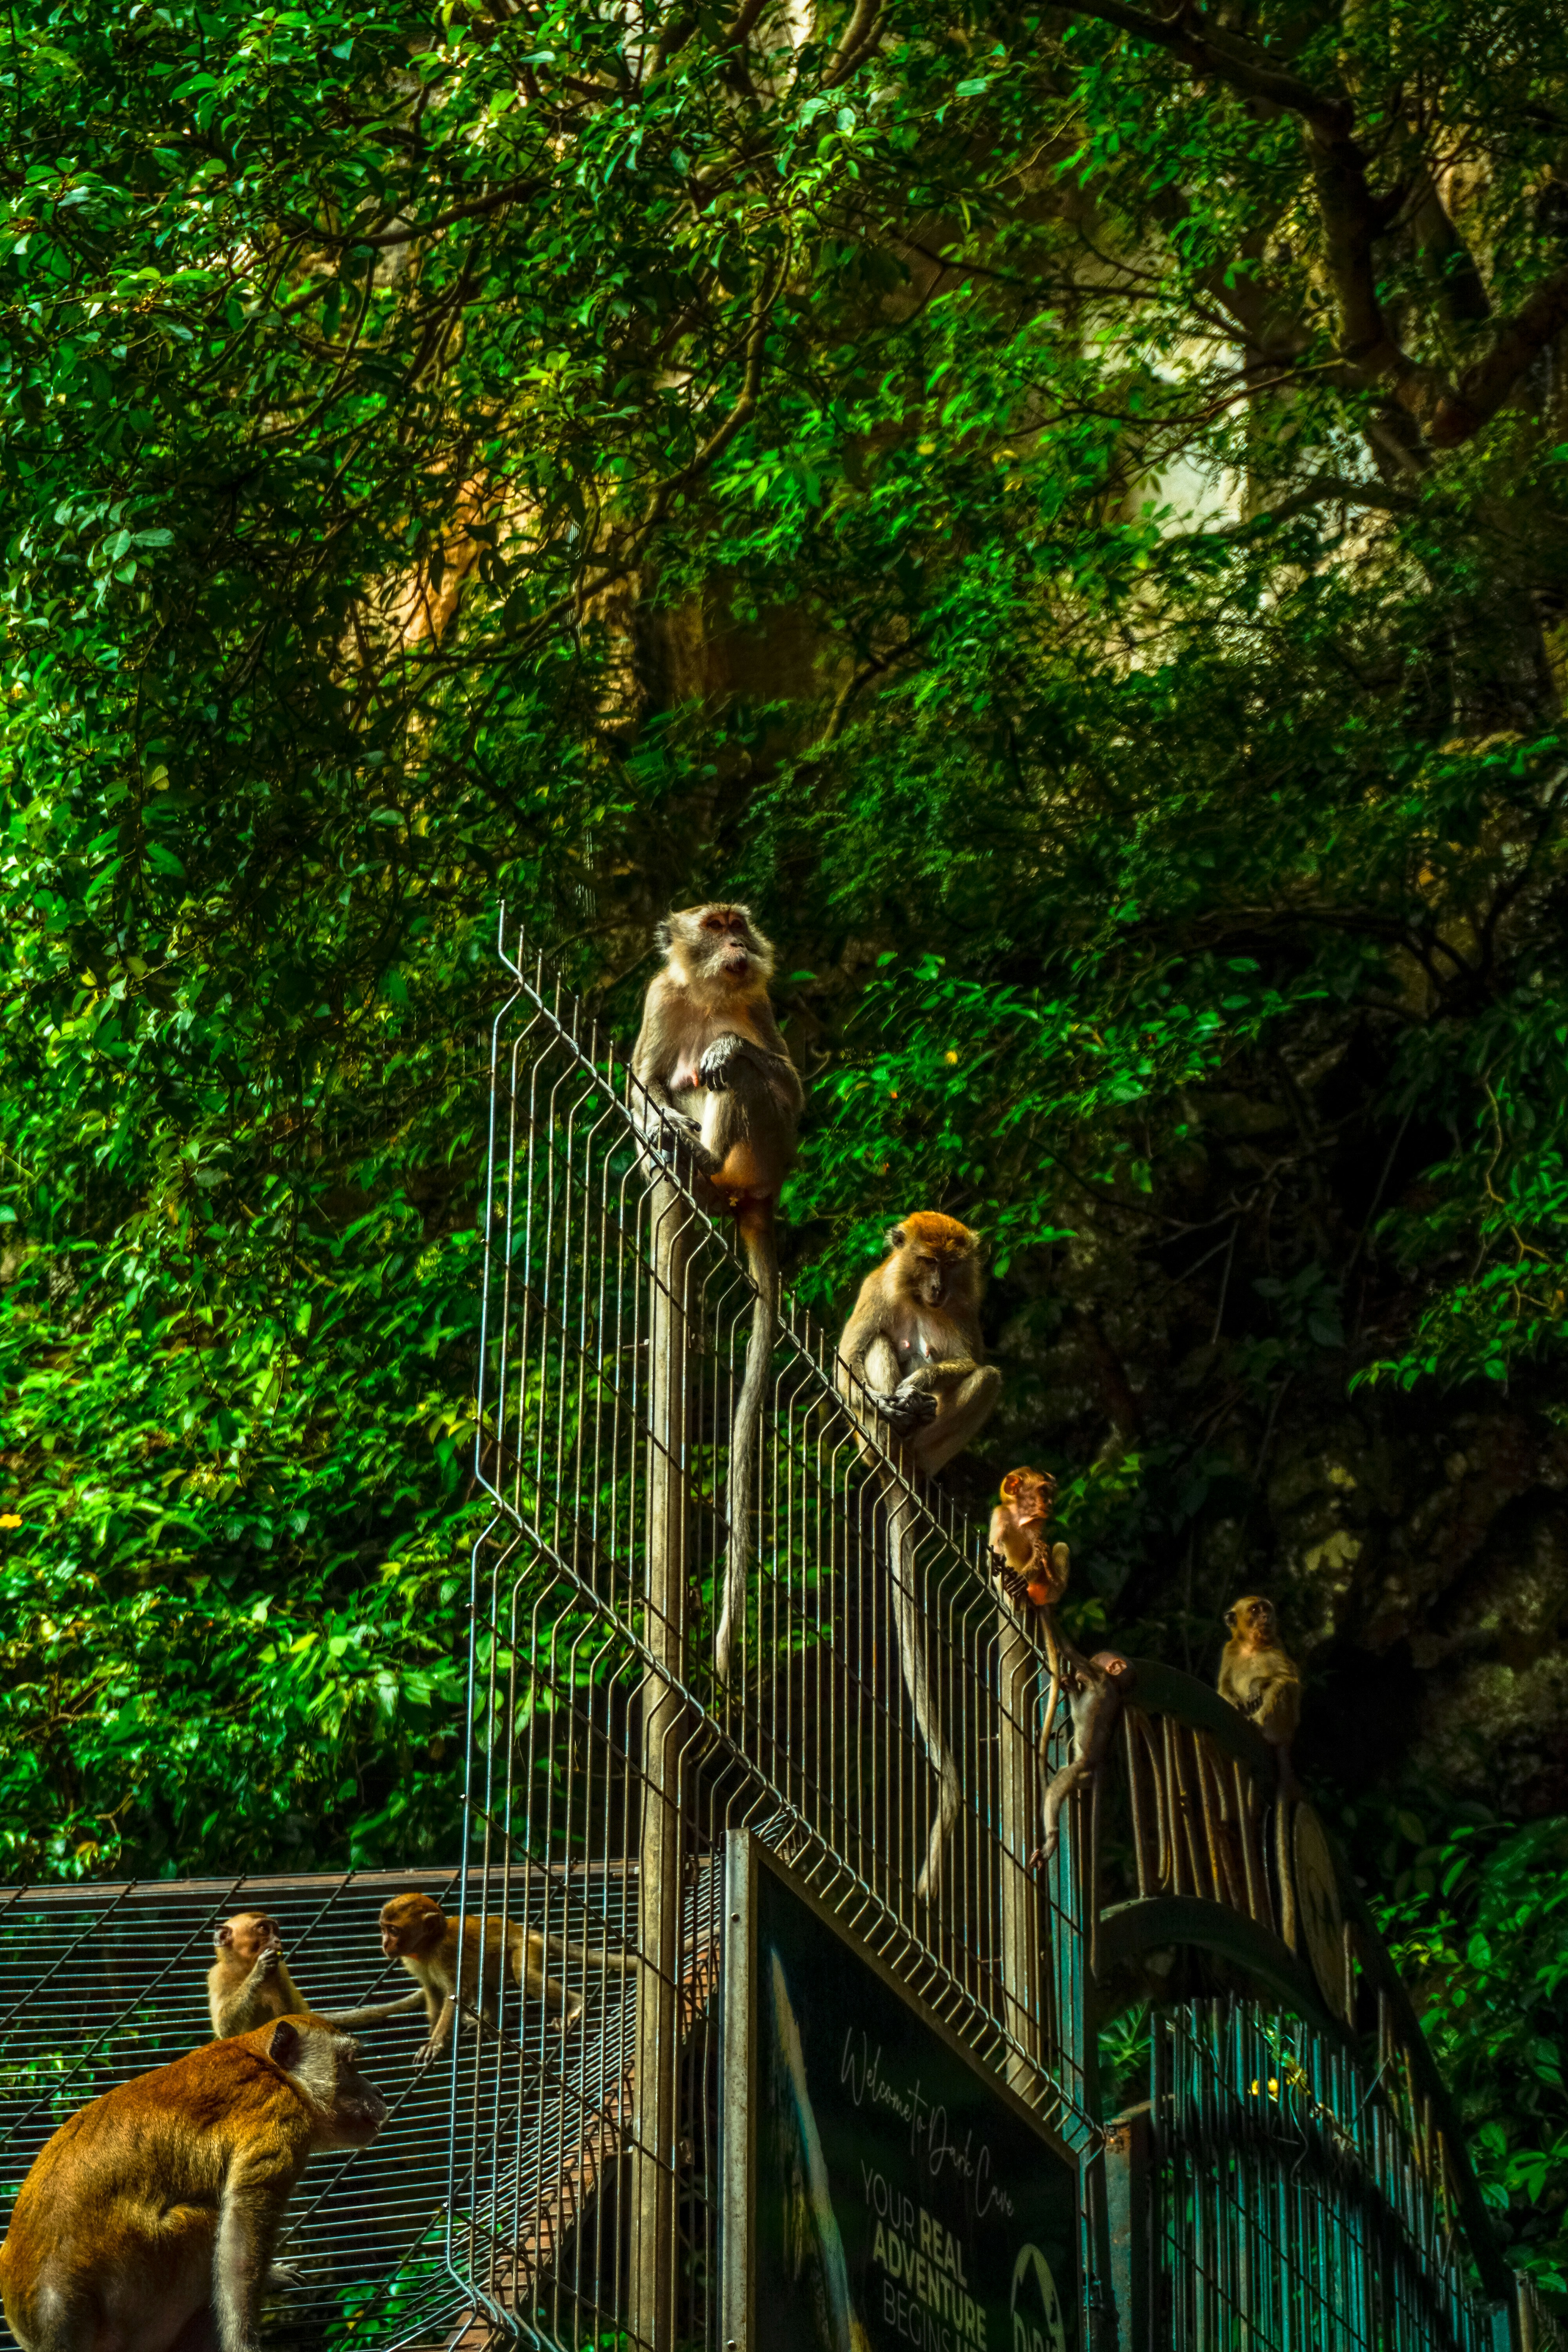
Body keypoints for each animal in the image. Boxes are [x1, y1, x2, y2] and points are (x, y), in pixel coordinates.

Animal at [0, 2013, 385, 2352]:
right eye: (350, 2064)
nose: (378, 2092)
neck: (271, 2068)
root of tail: (53, 2308)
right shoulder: (280, 2119)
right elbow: (242, 2229)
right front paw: (242, 2339)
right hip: (148, 2285)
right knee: (207, 2225)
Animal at [208, 1910, 426, 2041]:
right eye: (263, 1929)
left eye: (275, 1931)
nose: (278, 1941)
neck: (244, 1969)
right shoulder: (217, 1977)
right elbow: (226, 2029)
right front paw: (259, 1972)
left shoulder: (282, 1972)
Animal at [379, 1891, 636, 2072]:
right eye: (384, 1929)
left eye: (394, 1931)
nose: (385, 1944)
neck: (427, 1947)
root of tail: (525, 1932)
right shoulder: (412, 1959)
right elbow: (433, 1991)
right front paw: (435, 2033)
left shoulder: (445, 1954)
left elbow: (457, 1993)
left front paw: (436, 2042)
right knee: (483, 1982)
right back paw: (494, 2020)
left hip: (527, 1948)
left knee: (525, 1976)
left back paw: (575, 2006)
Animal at [836, 1213, 1001, 1477]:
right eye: (930, 1262)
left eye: (951, 1264)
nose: (938, 1288)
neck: (917, 1297)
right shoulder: (875, 1290)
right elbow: (848, 1359)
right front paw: (883, 1404)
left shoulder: (964, 1306)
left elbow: (970, 1362)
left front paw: (921, 1380)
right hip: (863, 1441)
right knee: (877, 1341)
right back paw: (888, 1433)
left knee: (989, 1379)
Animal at [1219, 1594, 1303, 1798]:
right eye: (1255, 1610)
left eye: (1266, 1609)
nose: (1266, 1616)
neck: (1251, 1646)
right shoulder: (1229, 1650)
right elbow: (1224, 1687)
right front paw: (1236, 1702)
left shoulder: (1277, 1645)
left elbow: (1290, 1679)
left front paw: (1256, 1685)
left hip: (1286, 1726)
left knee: (1281, 1687)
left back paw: (1260, 1726)